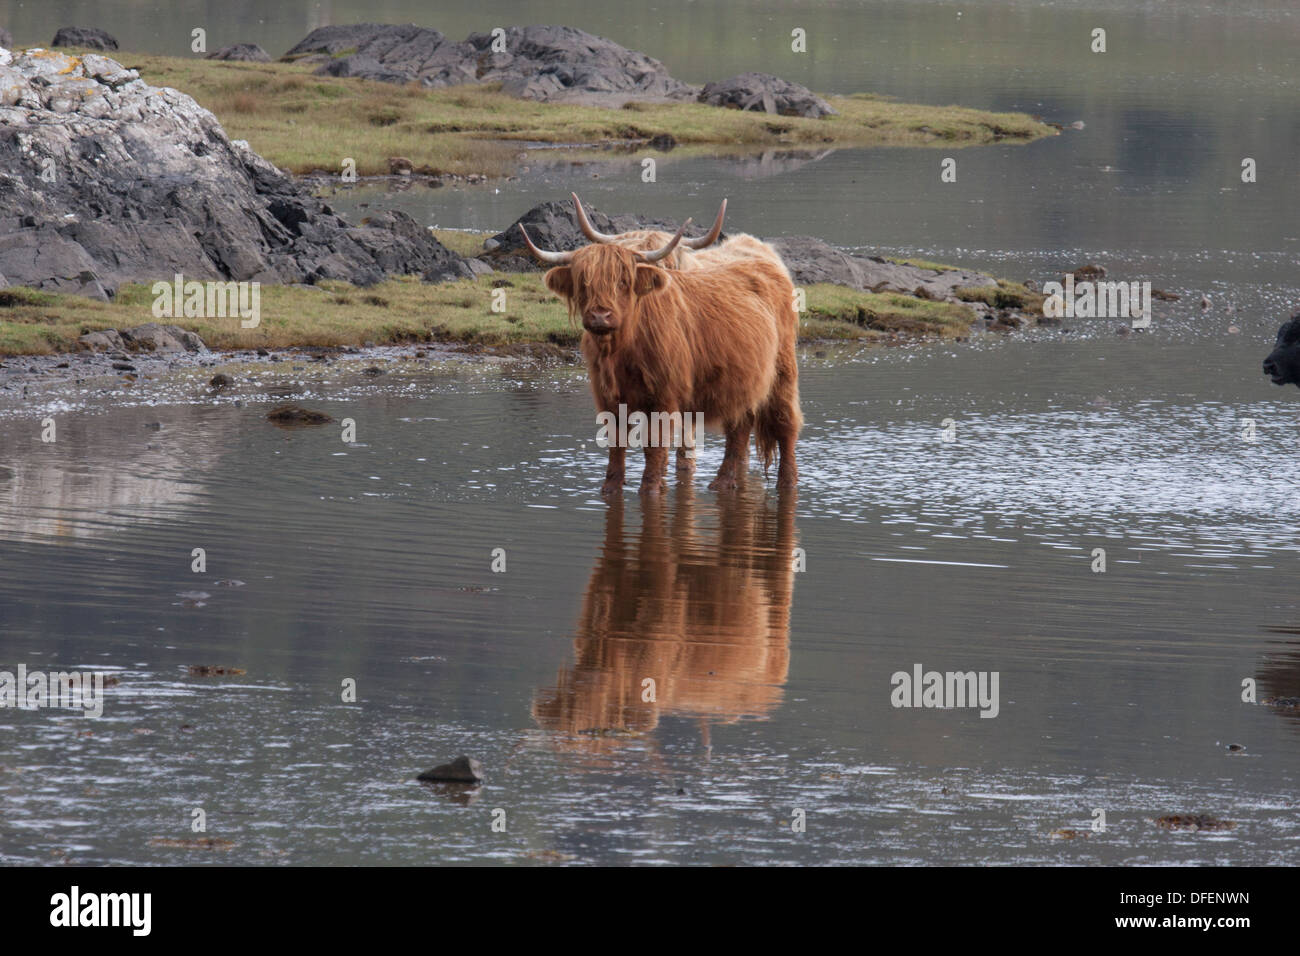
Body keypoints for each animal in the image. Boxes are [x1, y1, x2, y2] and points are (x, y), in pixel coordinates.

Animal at [520, 213, 801, 495]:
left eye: (623, 282)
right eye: (583, 283)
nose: (600, 315)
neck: (621, 349)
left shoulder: (664, 395)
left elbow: (655, 445)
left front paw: (651, 488)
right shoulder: (608, 397)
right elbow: (616, 443)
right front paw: (610, 487)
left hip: (782, 372)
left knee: (785, 423)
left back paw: (787, 482)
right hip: (742, 380)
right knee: (739, 426)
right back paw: (722, 482)